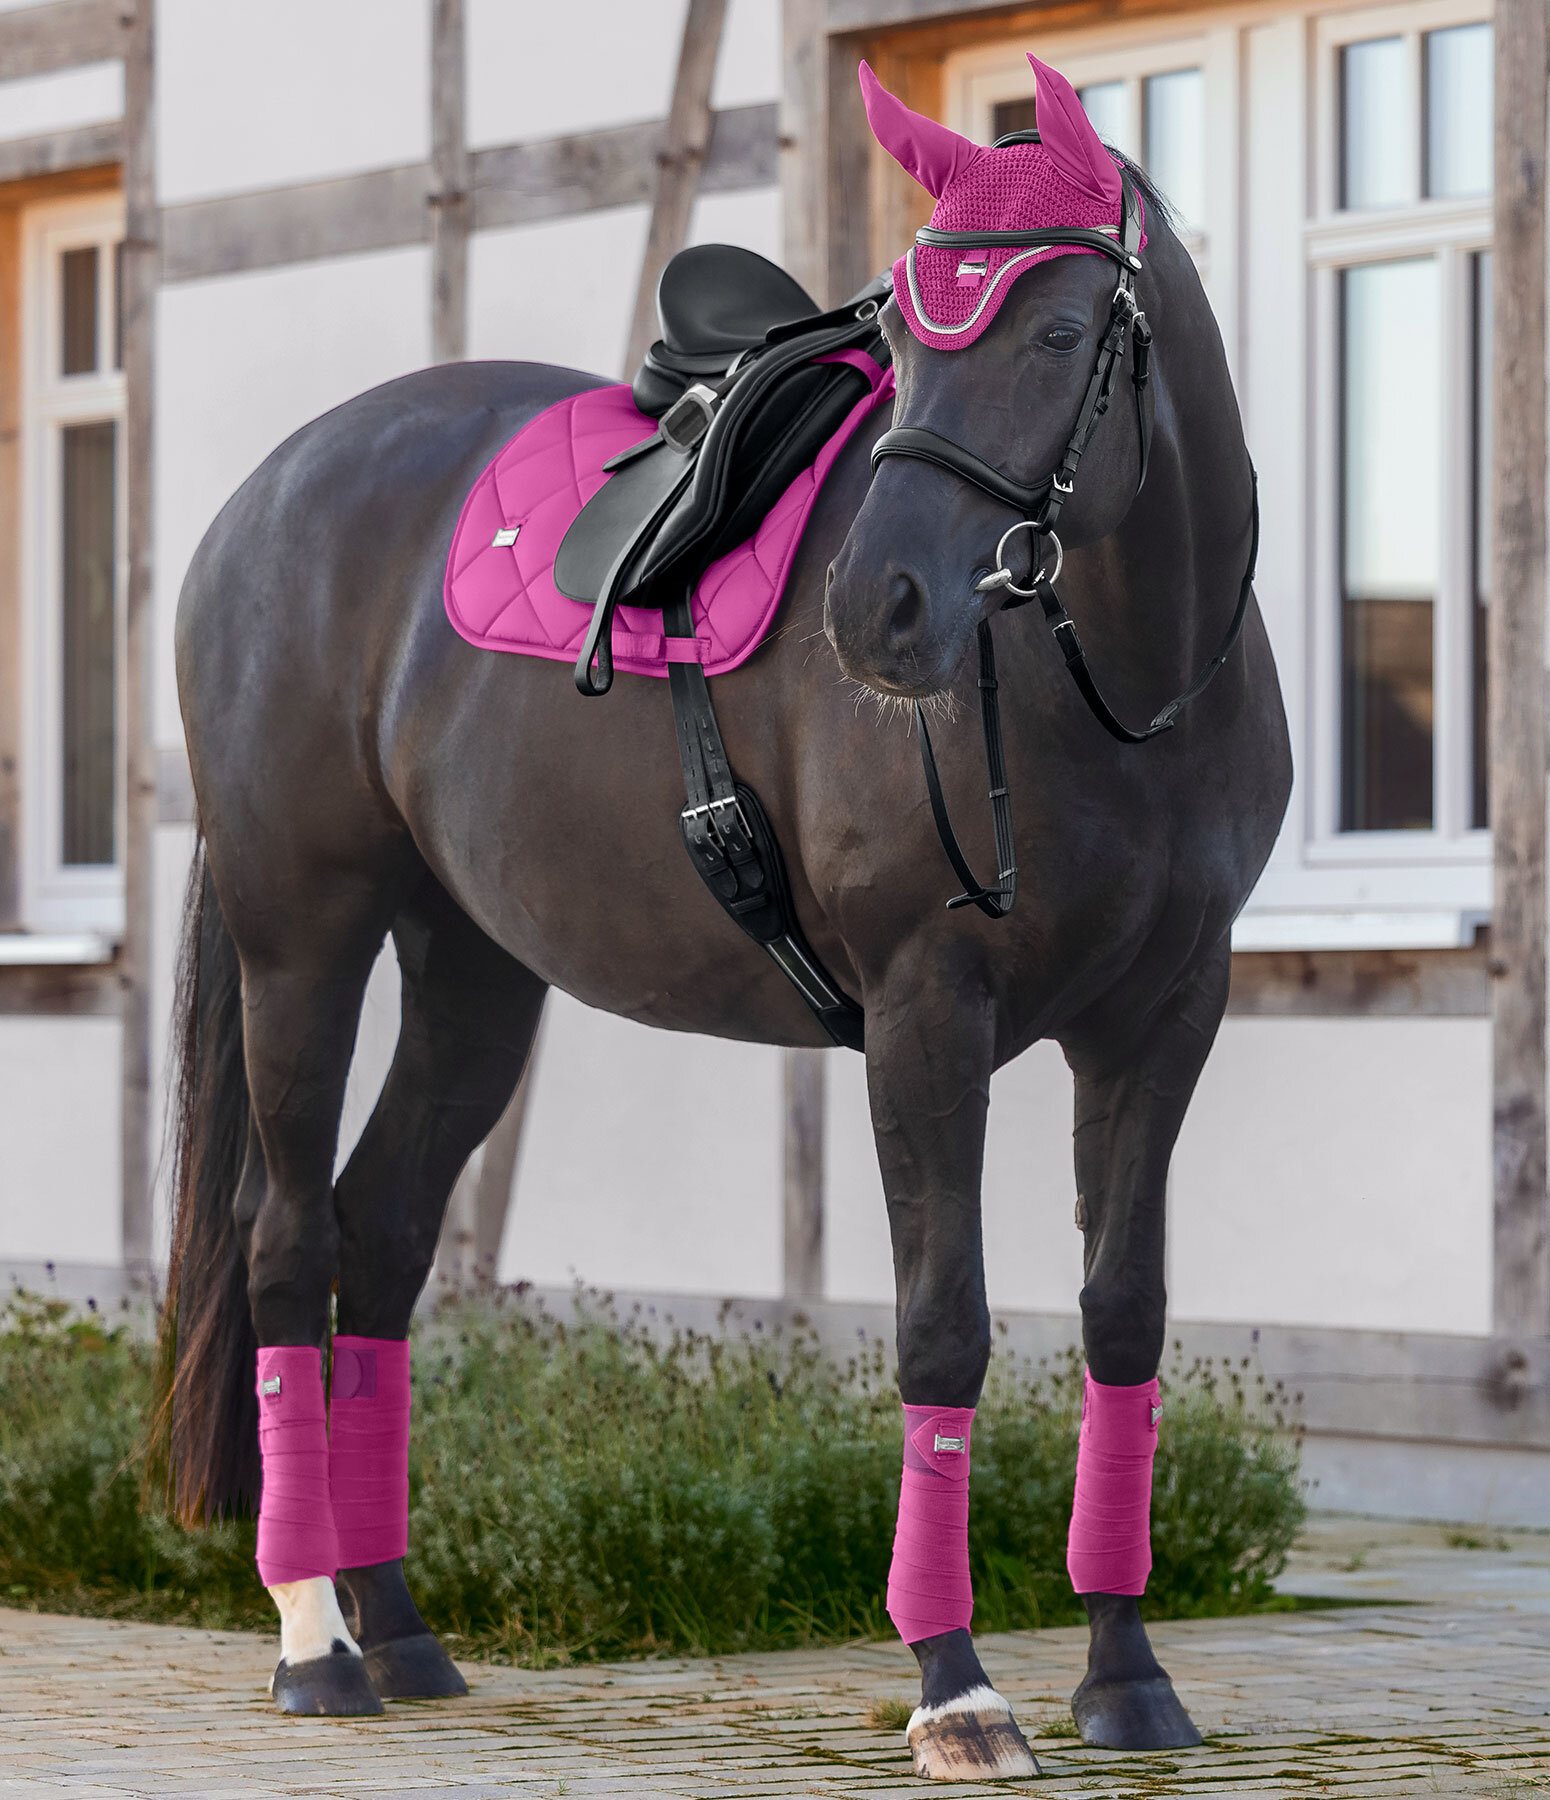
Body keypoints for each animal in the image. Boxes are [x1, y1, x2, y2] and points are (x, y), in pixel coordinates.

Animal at [160, 54, 1289, 1782]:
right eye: (904, 337)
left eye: (1050, 333)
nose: (878, 609)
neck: (1114, 680)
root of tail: (258, 501)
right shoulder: (925, 1010)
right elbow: (942, 1327)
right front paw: (956, 1687)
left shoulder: (1166, 1015)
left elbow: (1122, 1319)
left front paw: (1123, 1675)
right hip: (307, 934)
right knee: (287, 1241)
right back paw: (314, 1643)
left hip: (473, 971)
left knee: (384, 1231)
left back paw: (401, 1628)